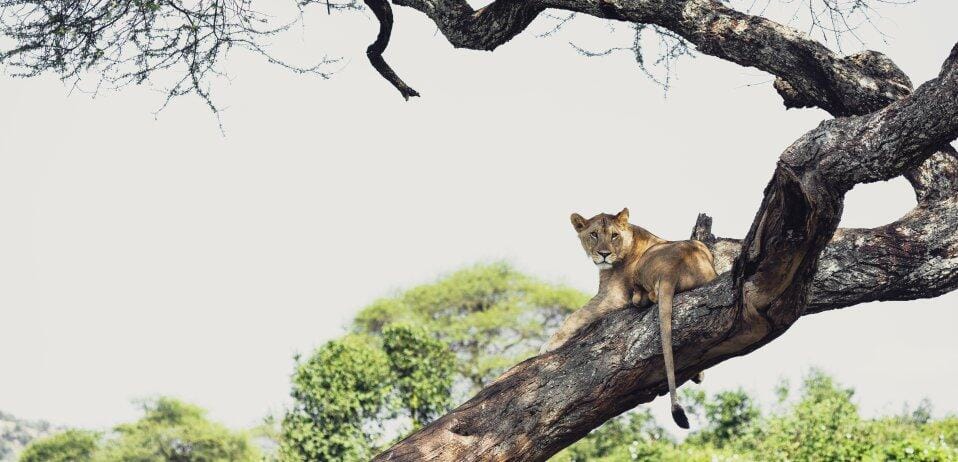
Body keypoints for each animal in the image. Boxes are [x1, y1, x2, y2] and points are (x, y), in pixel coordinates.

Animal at [541, 208, 717, 429]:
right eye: (594, 234)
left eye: (614, 235)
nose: (604, 254)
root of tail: (672, 269)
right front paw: (698, 374)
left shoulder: (612, 296)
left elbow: (576, 315)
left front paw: (548, 345)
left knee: (647, 297)